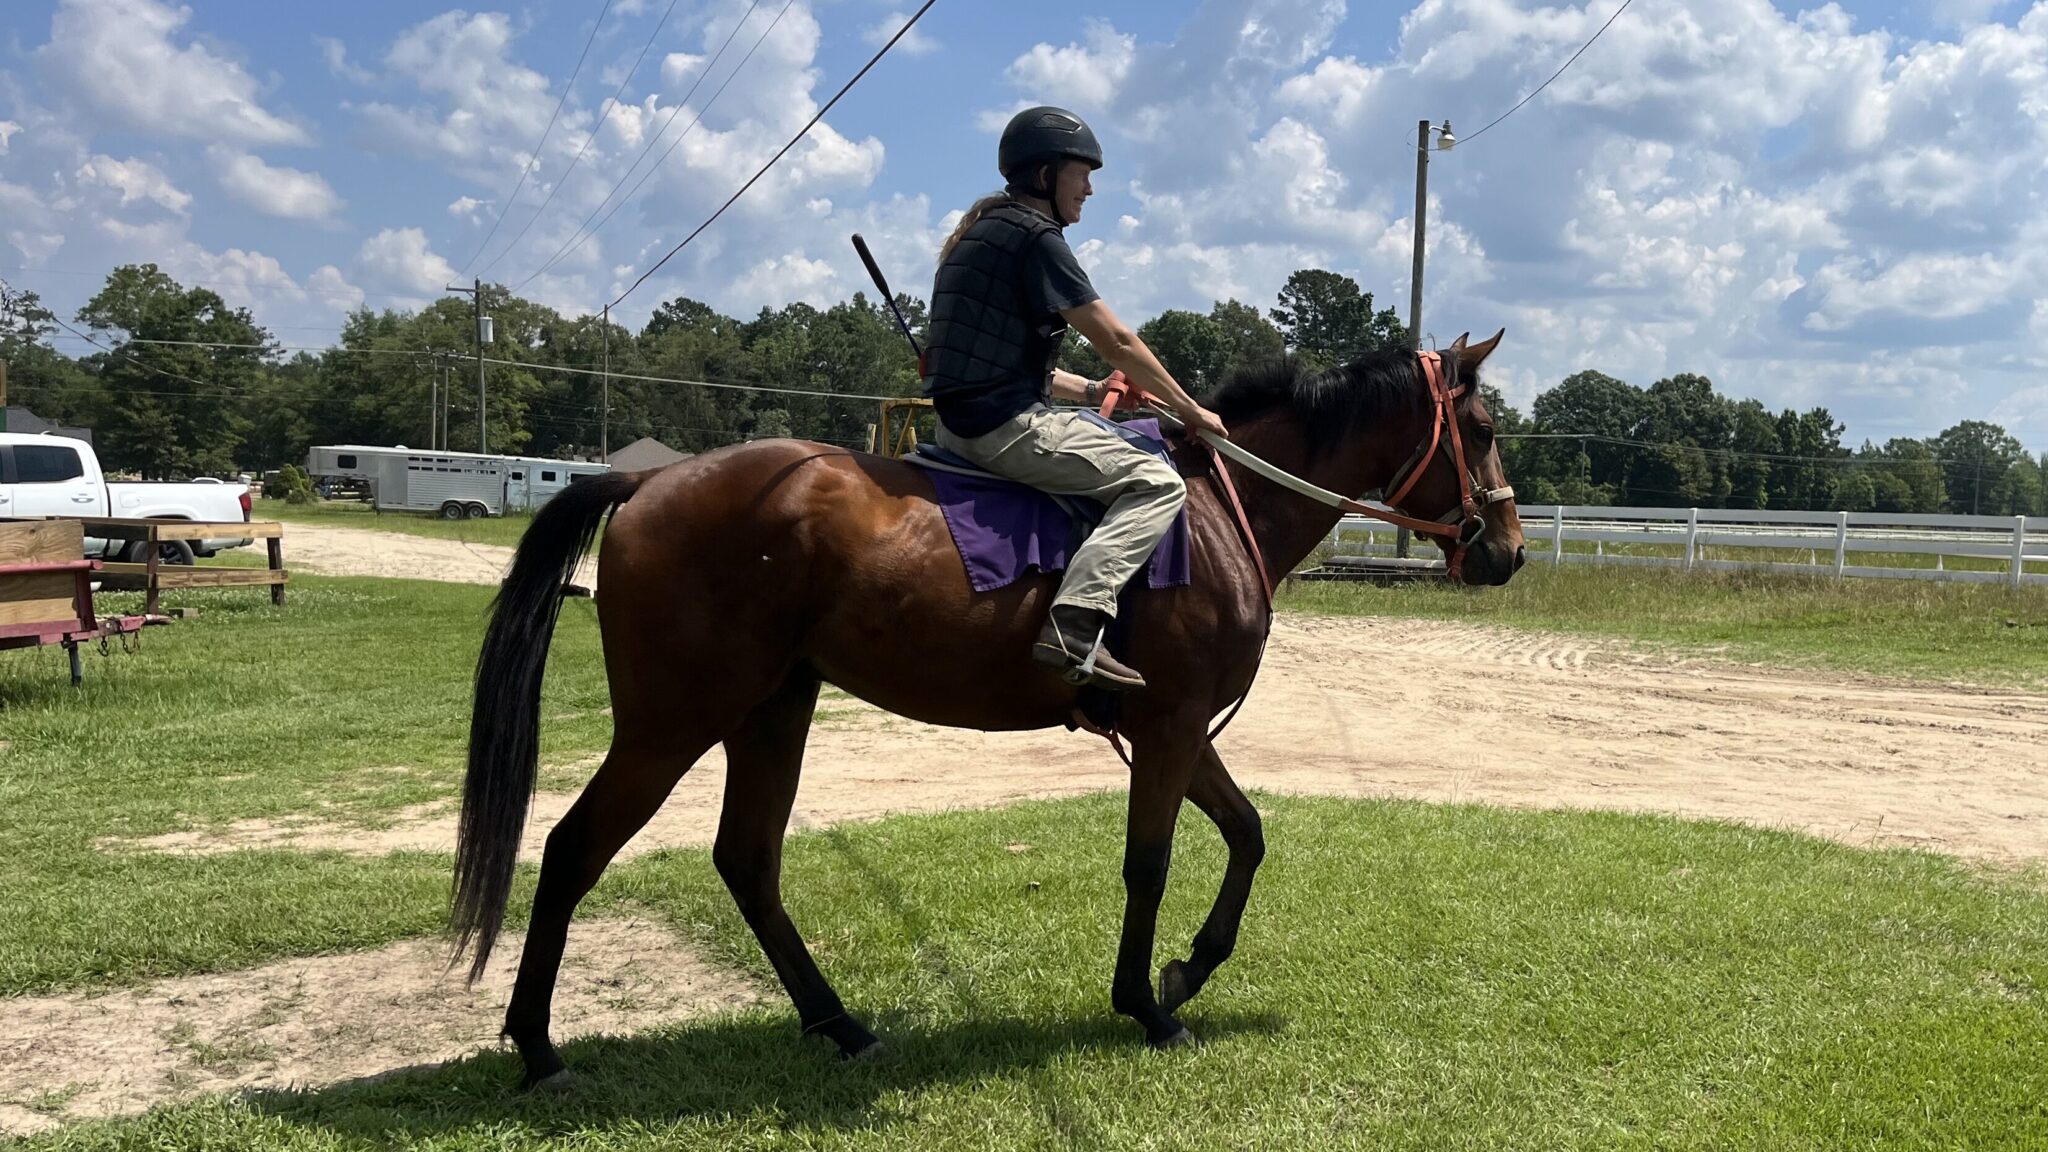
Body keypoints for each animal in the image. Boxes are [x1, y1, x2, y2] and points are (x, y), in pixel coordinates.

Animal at [452, 330, 1525, 1088]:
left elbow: (1249, 834)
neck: (1221, 508)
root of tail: (648, 478)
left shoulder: (1171, 729)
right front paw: (1148, 1005)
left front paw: (1186, 970)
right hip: (674, 721)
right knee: (574, 850)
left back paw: (840, 1025)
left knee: (747, 861)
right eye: (1479, 432)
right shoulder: (1172, 729)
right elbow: (1151, 864)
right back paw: (538, 1049)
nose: (1509, 549)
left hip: (771, 710)